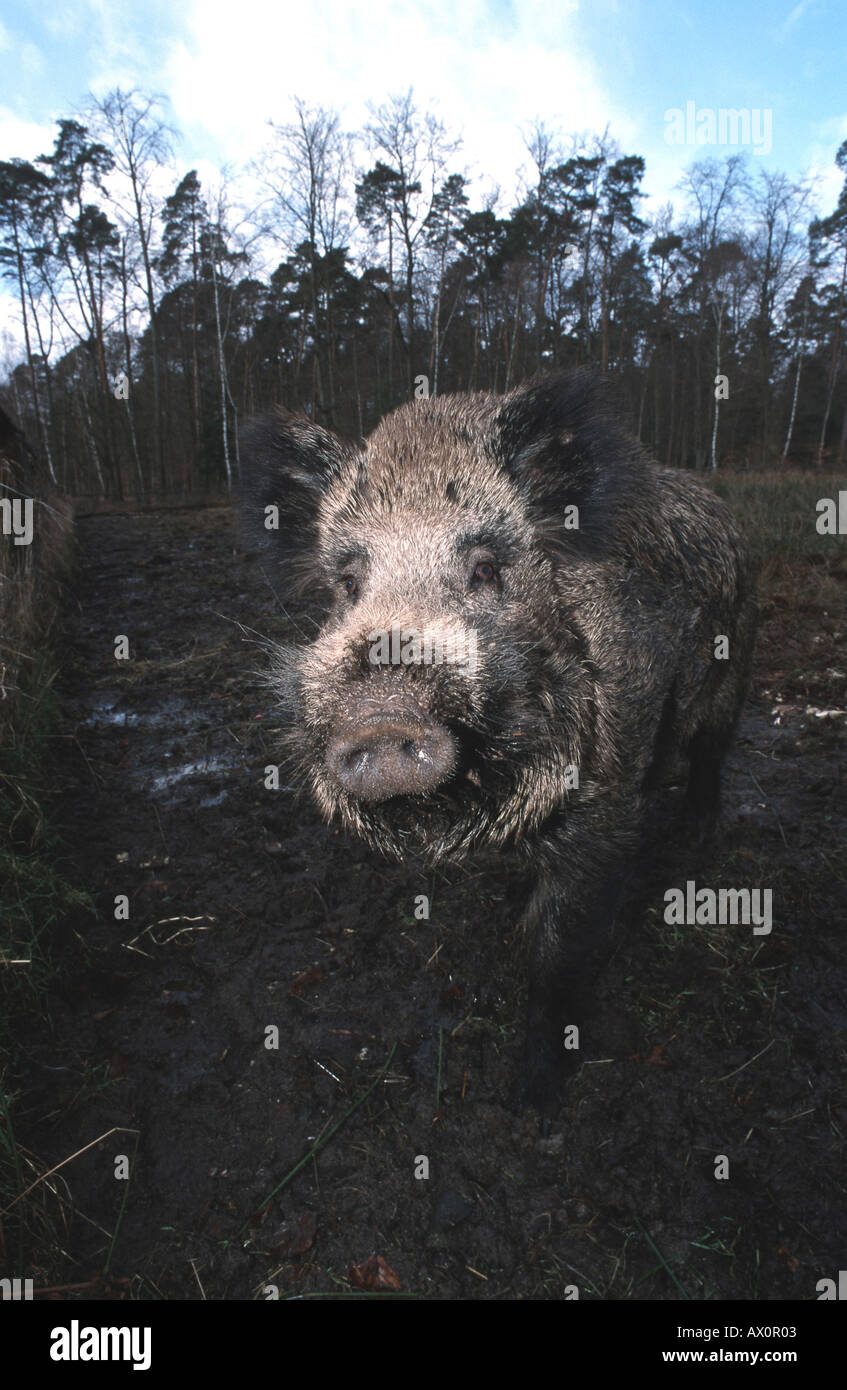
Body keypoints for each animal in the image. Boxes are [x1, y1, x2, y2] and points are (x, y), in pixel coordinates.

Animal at [240, 370, 756, 1110]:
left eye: (484, 569)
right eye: (348, 584)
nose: (382, 717)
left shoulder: (604, 806)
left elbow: (556, 954)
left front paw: (532, 1099)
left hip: (735, 665)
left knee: (712, 751)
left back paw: (698, 834)